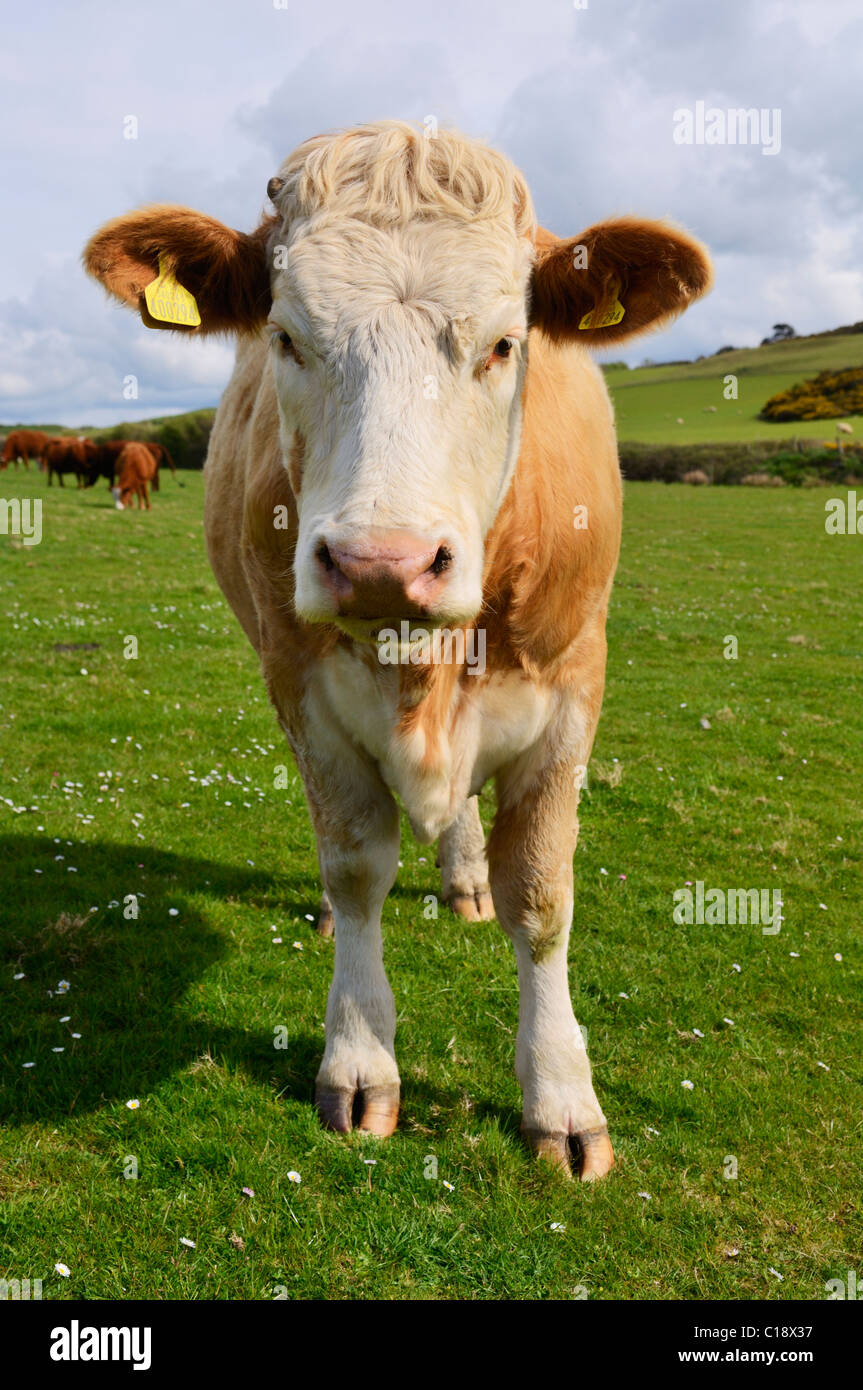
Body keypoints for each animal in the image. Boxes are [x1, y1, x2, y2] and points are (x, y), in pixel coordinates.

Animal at [85, 121, 712, 1179]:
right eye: (286, 338)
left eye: (504, 344)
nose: (383, 563)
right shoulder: (302, 687)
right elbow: (354, 866)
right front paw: (360, 1061)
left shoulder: (573, 688)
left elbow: (541, 895)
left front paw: (561, 1099)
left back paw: (463, 880)